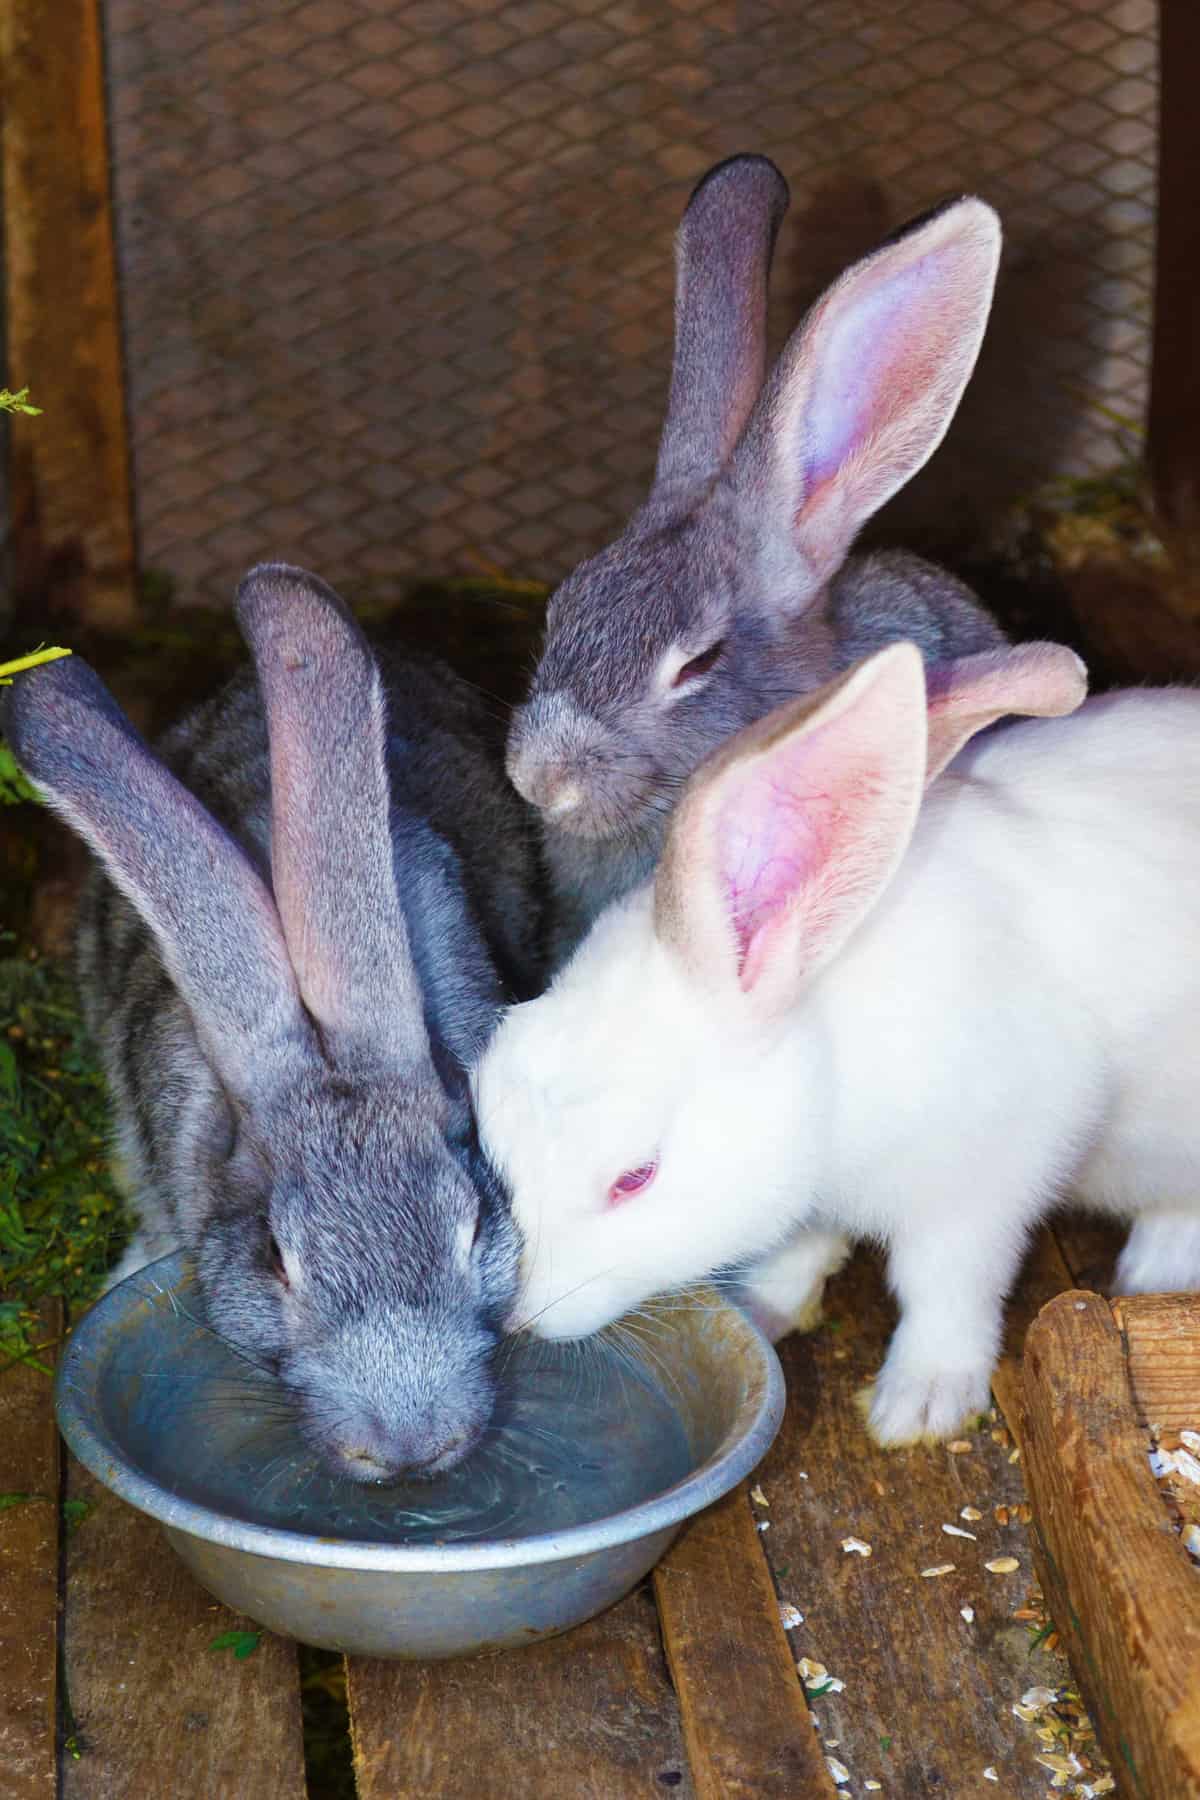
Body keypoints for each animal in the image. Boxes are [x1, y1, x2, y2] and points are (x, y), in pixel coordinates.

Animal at [476, 637, 1200, 1446]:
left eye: (635, 1178)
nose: (524, 1316)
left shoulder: (983, 1183)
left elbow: (944, 1287)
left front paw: (918, 1404)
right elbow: (805, 1244)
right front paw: (766, 1304)